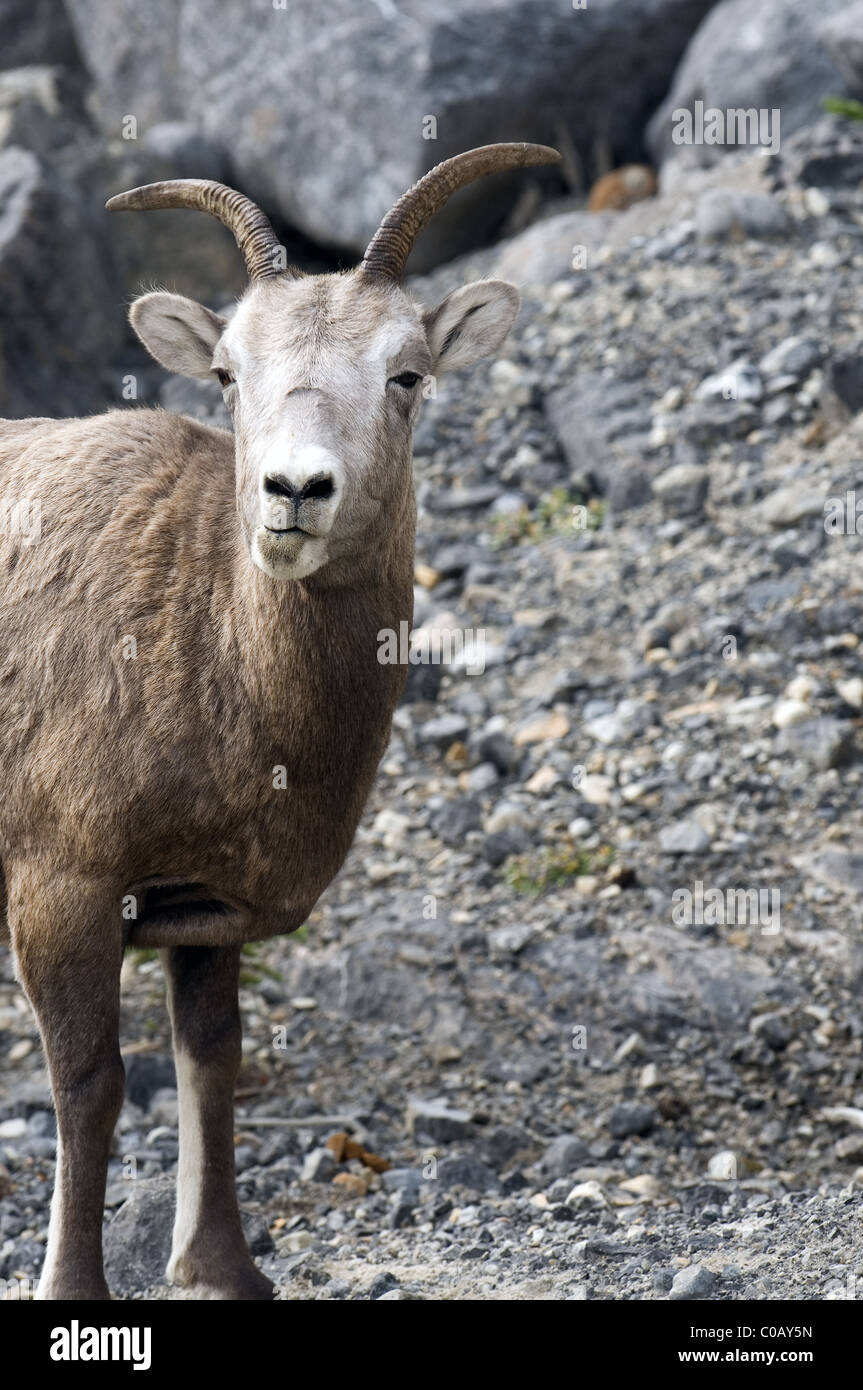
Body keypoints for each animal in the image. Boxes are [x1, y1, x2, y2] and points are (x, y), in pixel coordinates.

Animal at [0, 142, 560, 1300]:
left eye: (406, 374)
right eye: (226, 374)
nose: (293, 492)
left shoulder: (205, 914)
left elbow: (211, 1061)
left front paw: (221, 1267)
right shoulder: (60, 891)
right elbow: (91, 1084)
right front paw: (74, 1288)